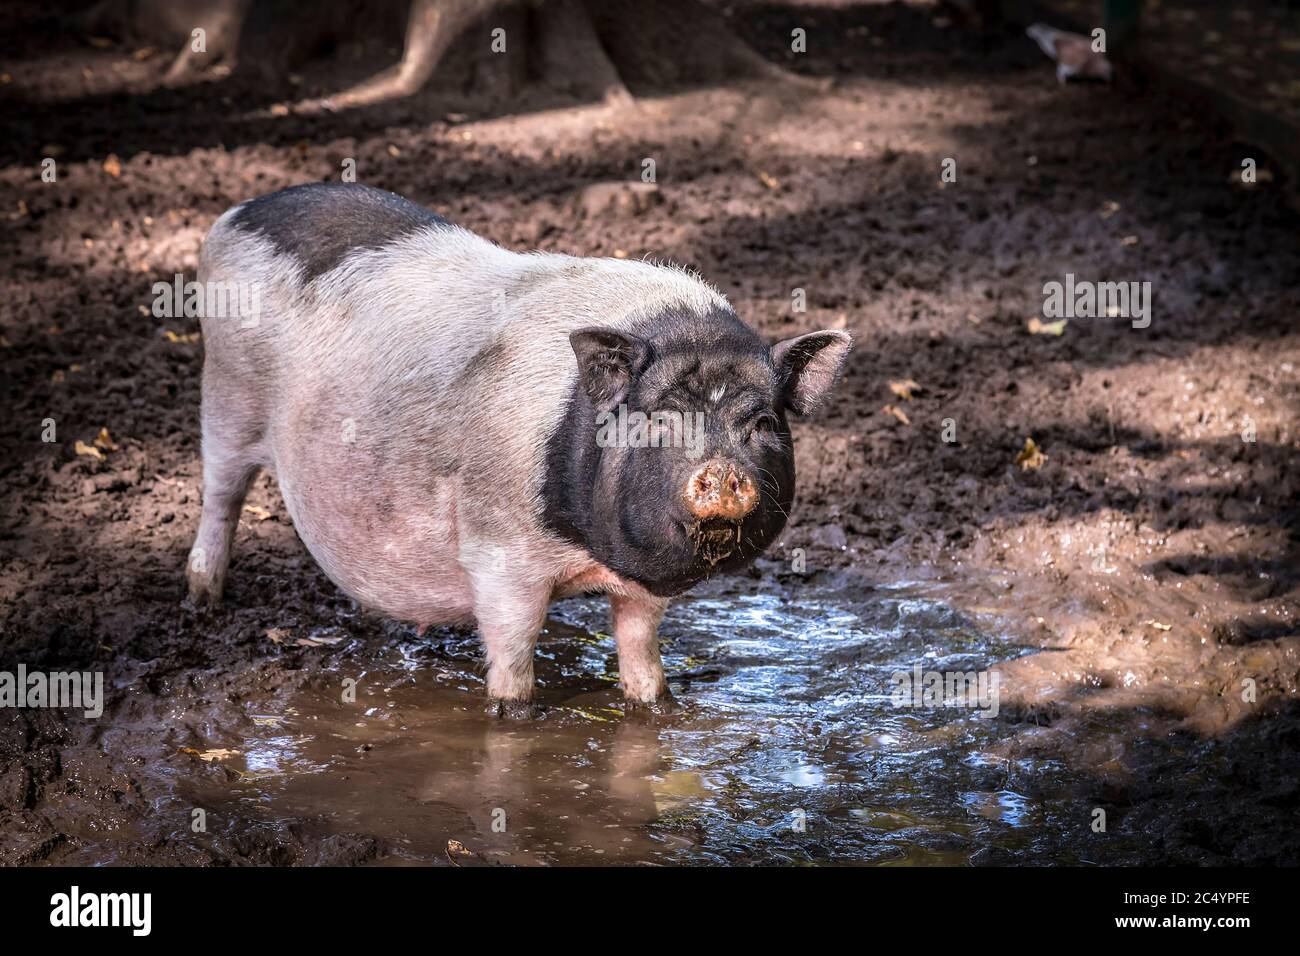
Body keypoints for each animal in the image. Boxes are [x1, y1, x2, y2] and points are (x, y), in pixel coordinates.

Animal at [186, 182, 850, 714]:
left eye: (761, 421)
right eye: (659, 418)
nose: (721, 470)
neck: (584, 550)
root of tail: (241, 212)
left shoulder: (640, 587)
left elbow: (641, 660)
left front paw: (653, 707)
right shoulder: (499, 556)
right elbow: (511, 668)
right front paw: (511, 714)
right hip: (225, 392)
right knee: (220, 490)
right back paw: (203, 599)